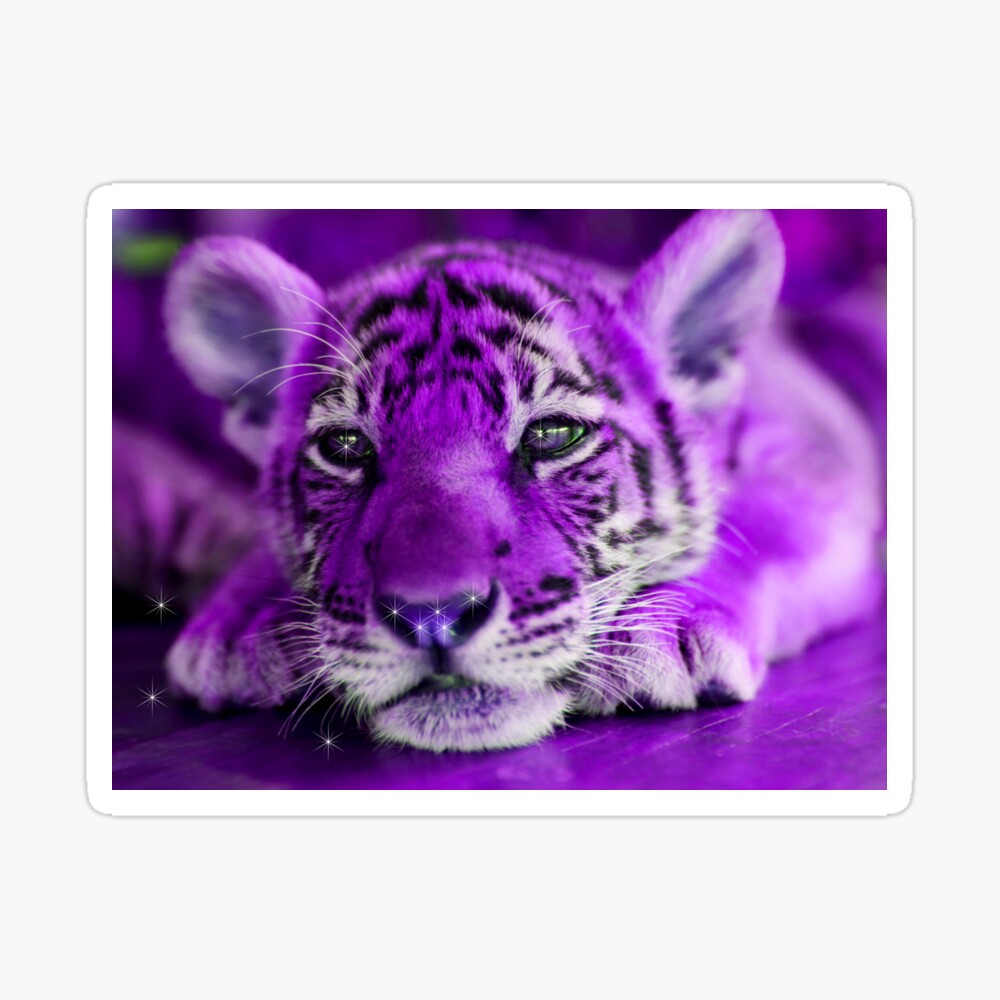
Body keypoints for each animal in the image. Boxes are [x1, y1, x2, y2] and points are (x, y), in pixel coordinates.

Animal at [158, 209, 884, 752]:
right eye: (345, 447)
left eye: (552, 435)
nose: (432, 616)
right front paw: (236, 623)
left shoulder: (811, 464)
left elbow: (764, 524)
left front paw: (662, 628)